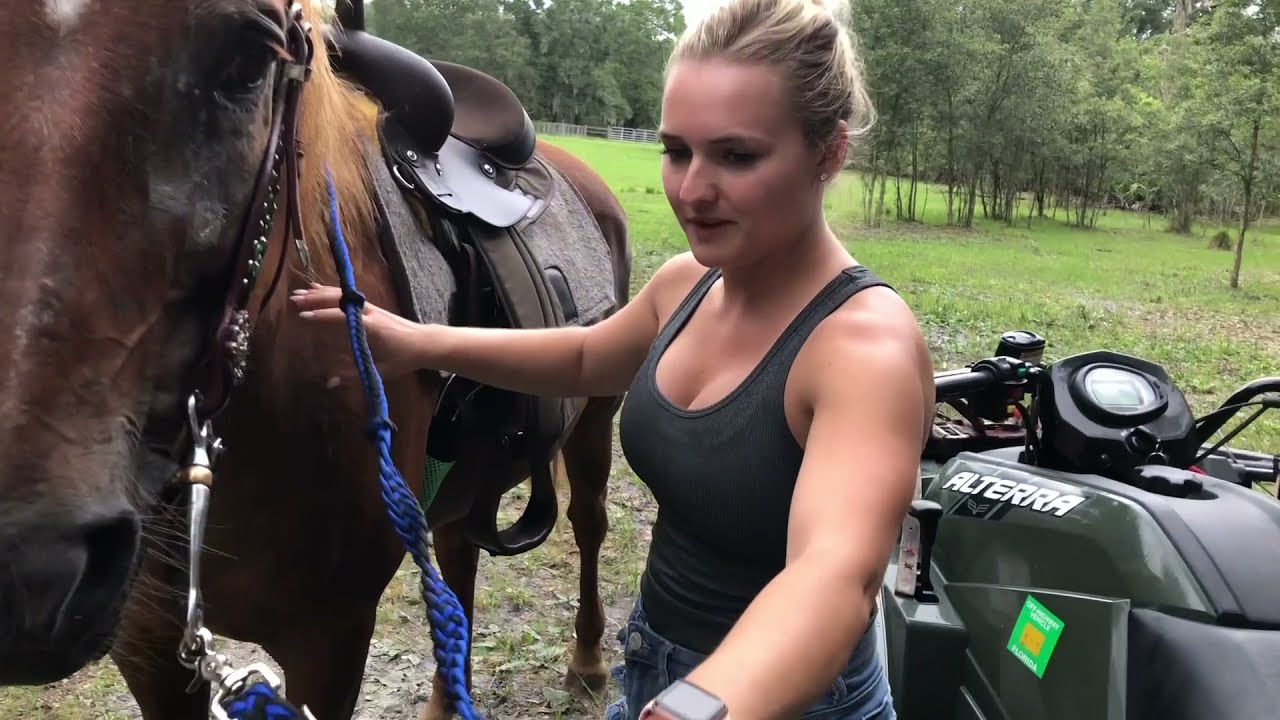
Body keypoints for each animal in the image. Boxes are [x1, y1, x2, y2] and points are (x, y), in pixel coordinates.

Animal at [0, 2, 631, 719]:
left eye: (250, 60)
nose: (28, 573)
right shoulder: (149, 643)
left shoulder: (330, 638)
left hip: (595, 419)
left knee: (587, 522)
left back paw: (587, 661)